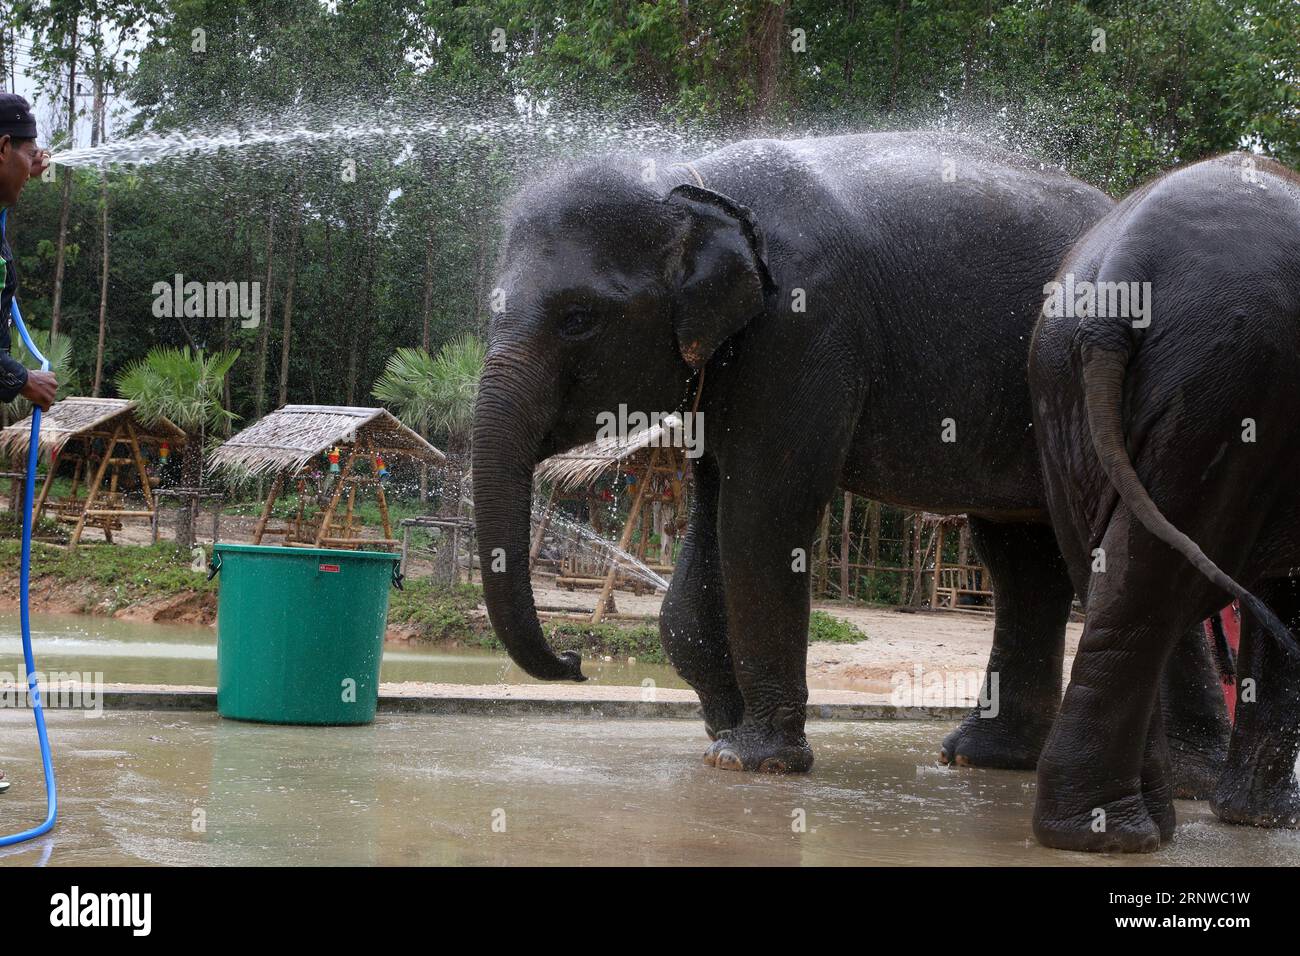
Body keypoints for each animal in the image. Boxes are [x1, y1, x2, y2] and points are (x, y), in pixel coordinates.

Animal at [474, 130, 1130, 777]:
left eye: (578, 319)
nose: (575, 658)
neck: (693, 183)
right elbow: (710, 516)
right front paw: (723, 730)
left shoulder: (805, 326)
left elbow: (761, 515)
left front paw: (751, 759)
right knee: (1020, 556)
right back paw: (982, 757)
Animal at [1027, 152, 1300, 851]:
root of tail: (1127, 263)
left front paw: (1261, 822)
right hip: (1228, 384)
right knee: (1154, 584)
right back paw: (1115, 835)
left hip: (1061, 392)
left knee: (1107, 574)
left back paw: (1128, 825)